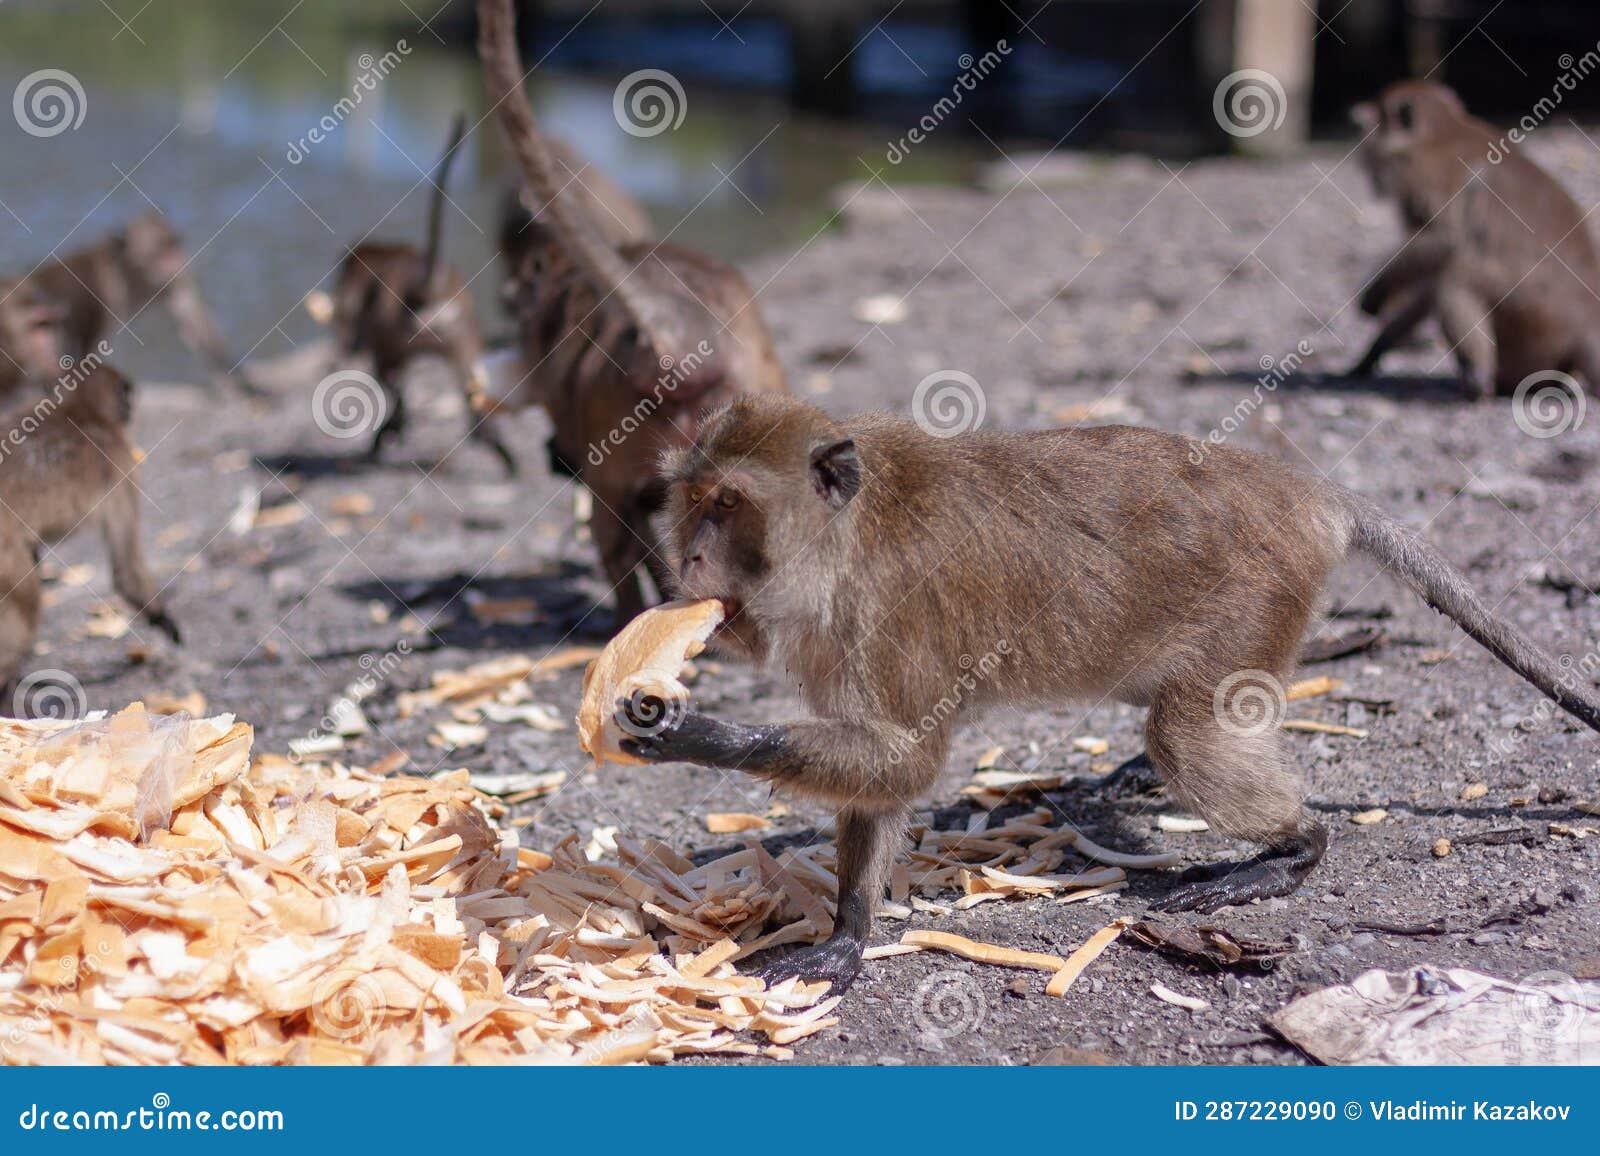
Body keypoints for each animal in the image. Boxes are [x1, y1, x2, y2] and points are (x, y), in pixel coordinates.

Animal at [0, 362, 181, 696]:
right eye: (126, 393)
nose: (129, 407)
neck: (80, 410)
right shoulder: (123, 464)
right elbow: (126, 570)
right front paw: (163, 618)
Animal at [614, 393, 1600, 991]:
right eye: (693, 500)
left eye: (730, 505)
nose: (687, 559)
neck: (843, 540)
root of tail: (1303, 492)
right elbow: (884, 781)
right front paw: (849, 932)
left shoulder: (891, 615)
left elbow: (908, 759)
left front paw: (696, 732)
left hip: (1259, 594)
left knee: (1190, 738)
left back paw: (1292, 851)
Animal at [1345, 80, 1600, 397]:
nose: (1356, 116)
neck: (1442, 131)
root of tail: (1587, 323)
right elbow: (1431, 277)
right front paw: (1376, 349)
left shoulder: (1425, 176)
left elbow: (1447, 240)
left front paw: (1375, 294)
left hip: (1536, 310)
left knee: (1458, 277)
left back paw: (1478, 380)